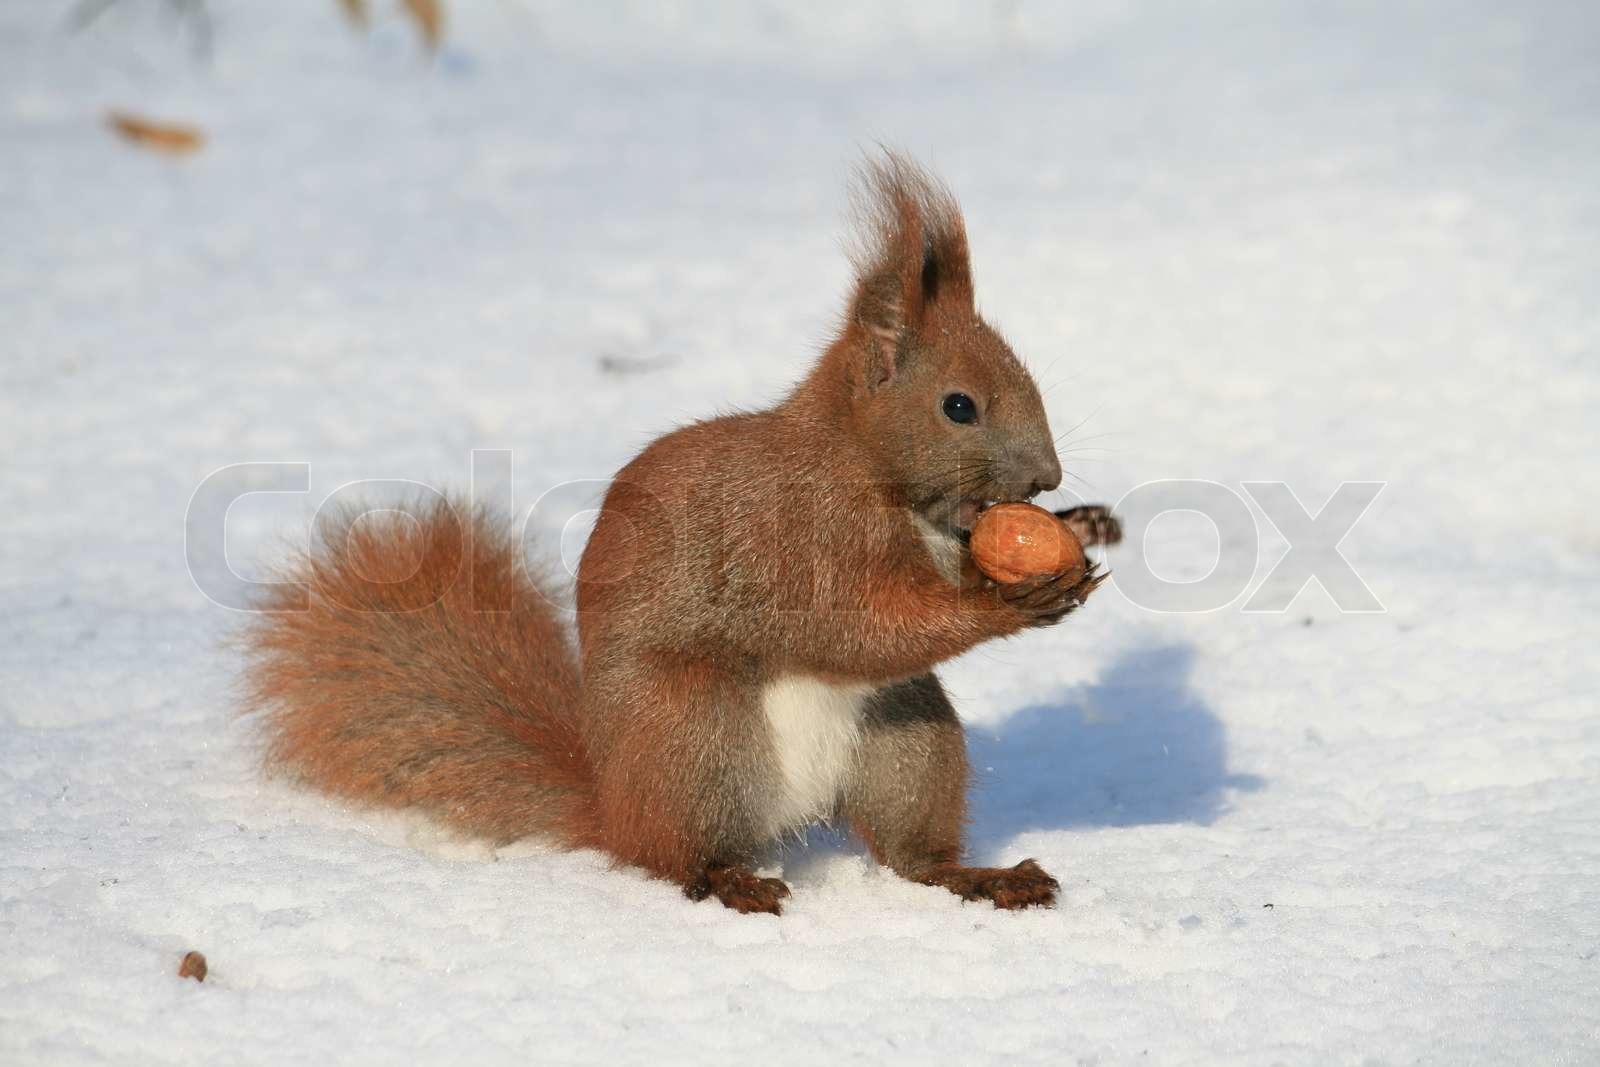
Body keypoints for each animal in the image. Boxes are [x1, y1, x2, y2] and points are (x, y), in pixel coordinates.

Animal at [241, 152, 1121, 915]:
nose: (1045, 478)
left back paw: (981, 877)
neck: (871, 471)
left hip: (907, 739)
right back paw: (732, 882)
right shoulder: (793, 538)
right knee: (672, 860)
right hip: (694, 734)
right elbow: (854, 625)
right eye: (958, 406)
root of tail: (611, 800)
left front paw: (1085, 526)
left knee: (912, 854)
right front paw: (1006, 599)